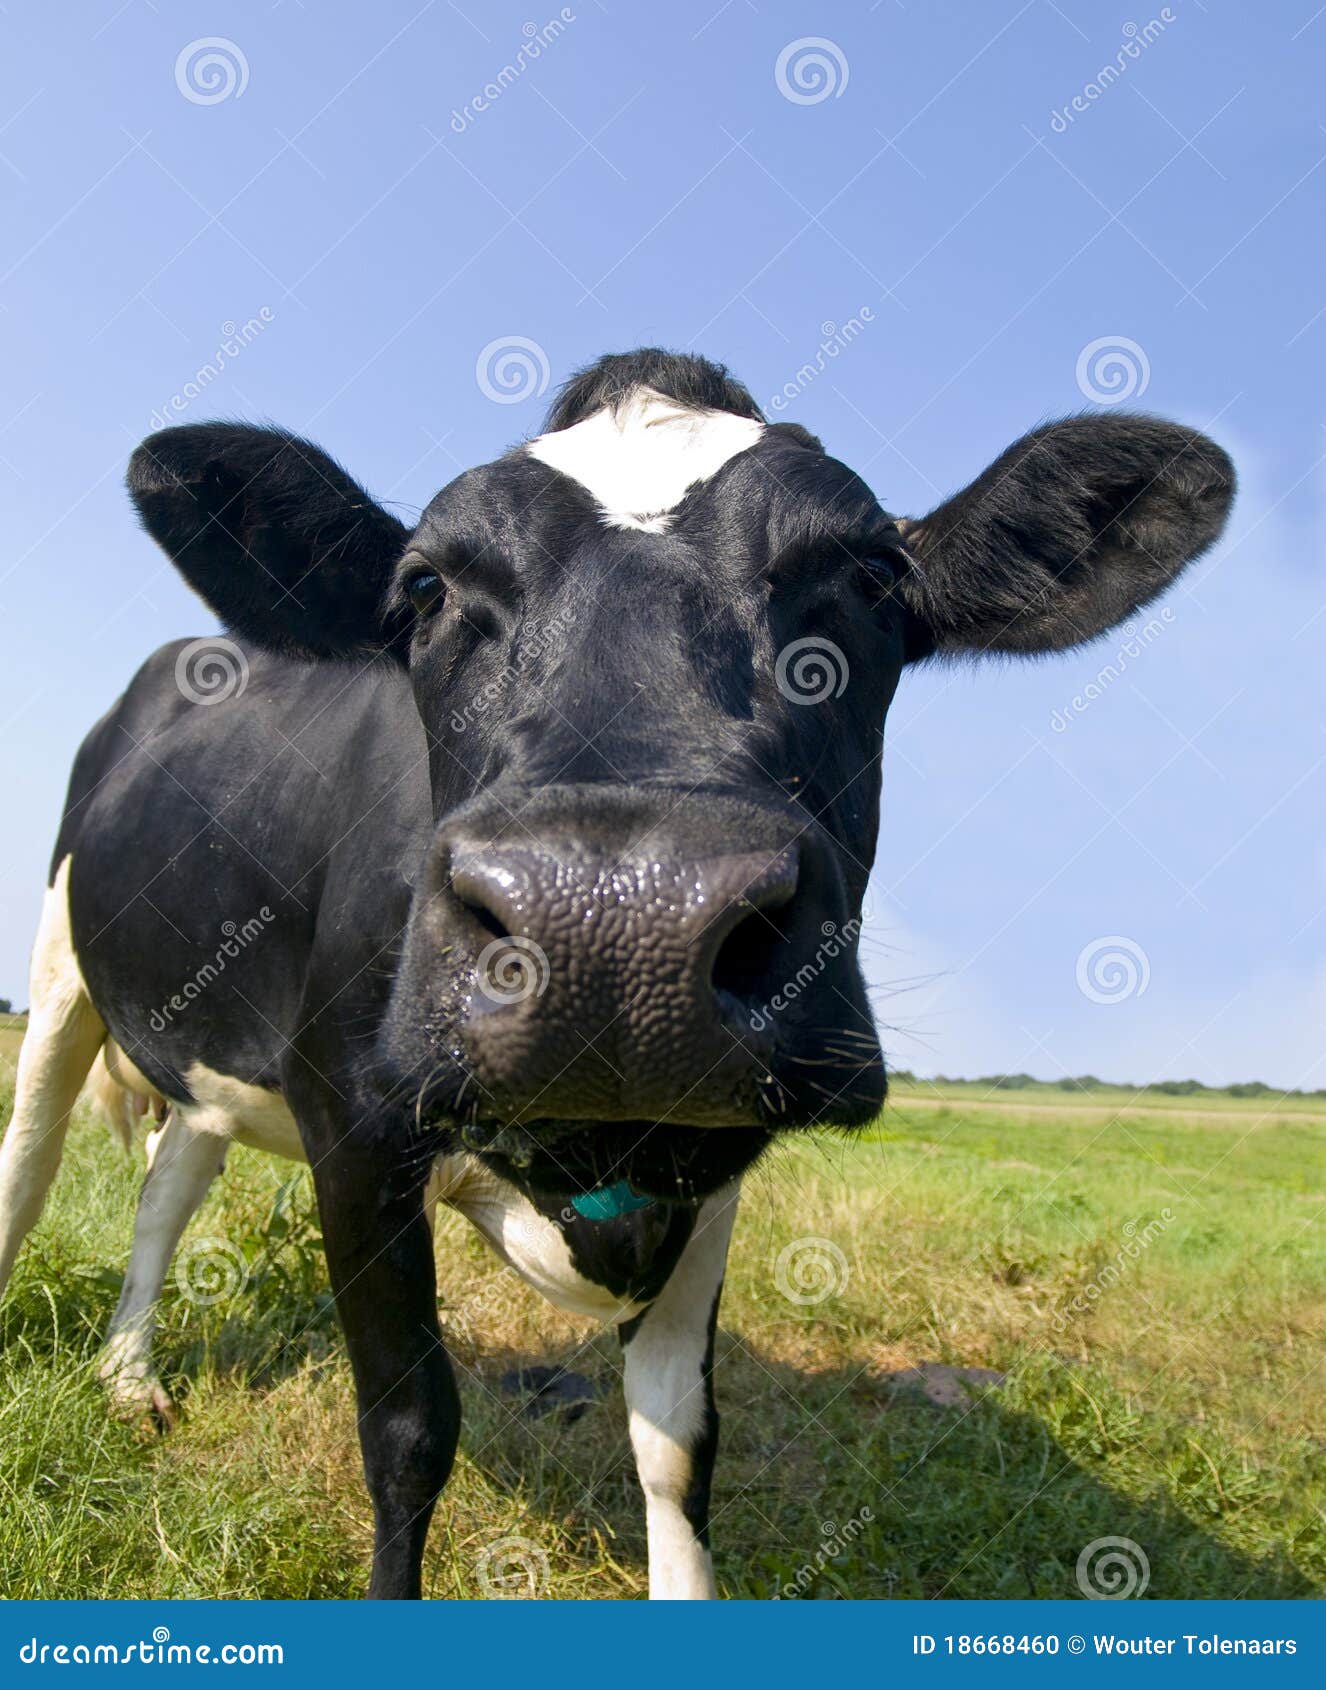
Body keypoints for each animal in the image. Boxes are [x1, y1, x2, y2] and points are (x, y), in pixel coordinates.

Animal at [0, 349, 1233, 1598]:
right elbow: (407, 1429)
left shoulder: (713, 1167)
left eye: (873, 574)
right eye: (426, 588)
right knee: (31, 1162)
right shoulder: (354, 1120)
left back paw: (129, 1376)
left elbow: (679, 1437)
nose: (620, 921)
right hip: (58, 976)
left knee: (167, 1180)